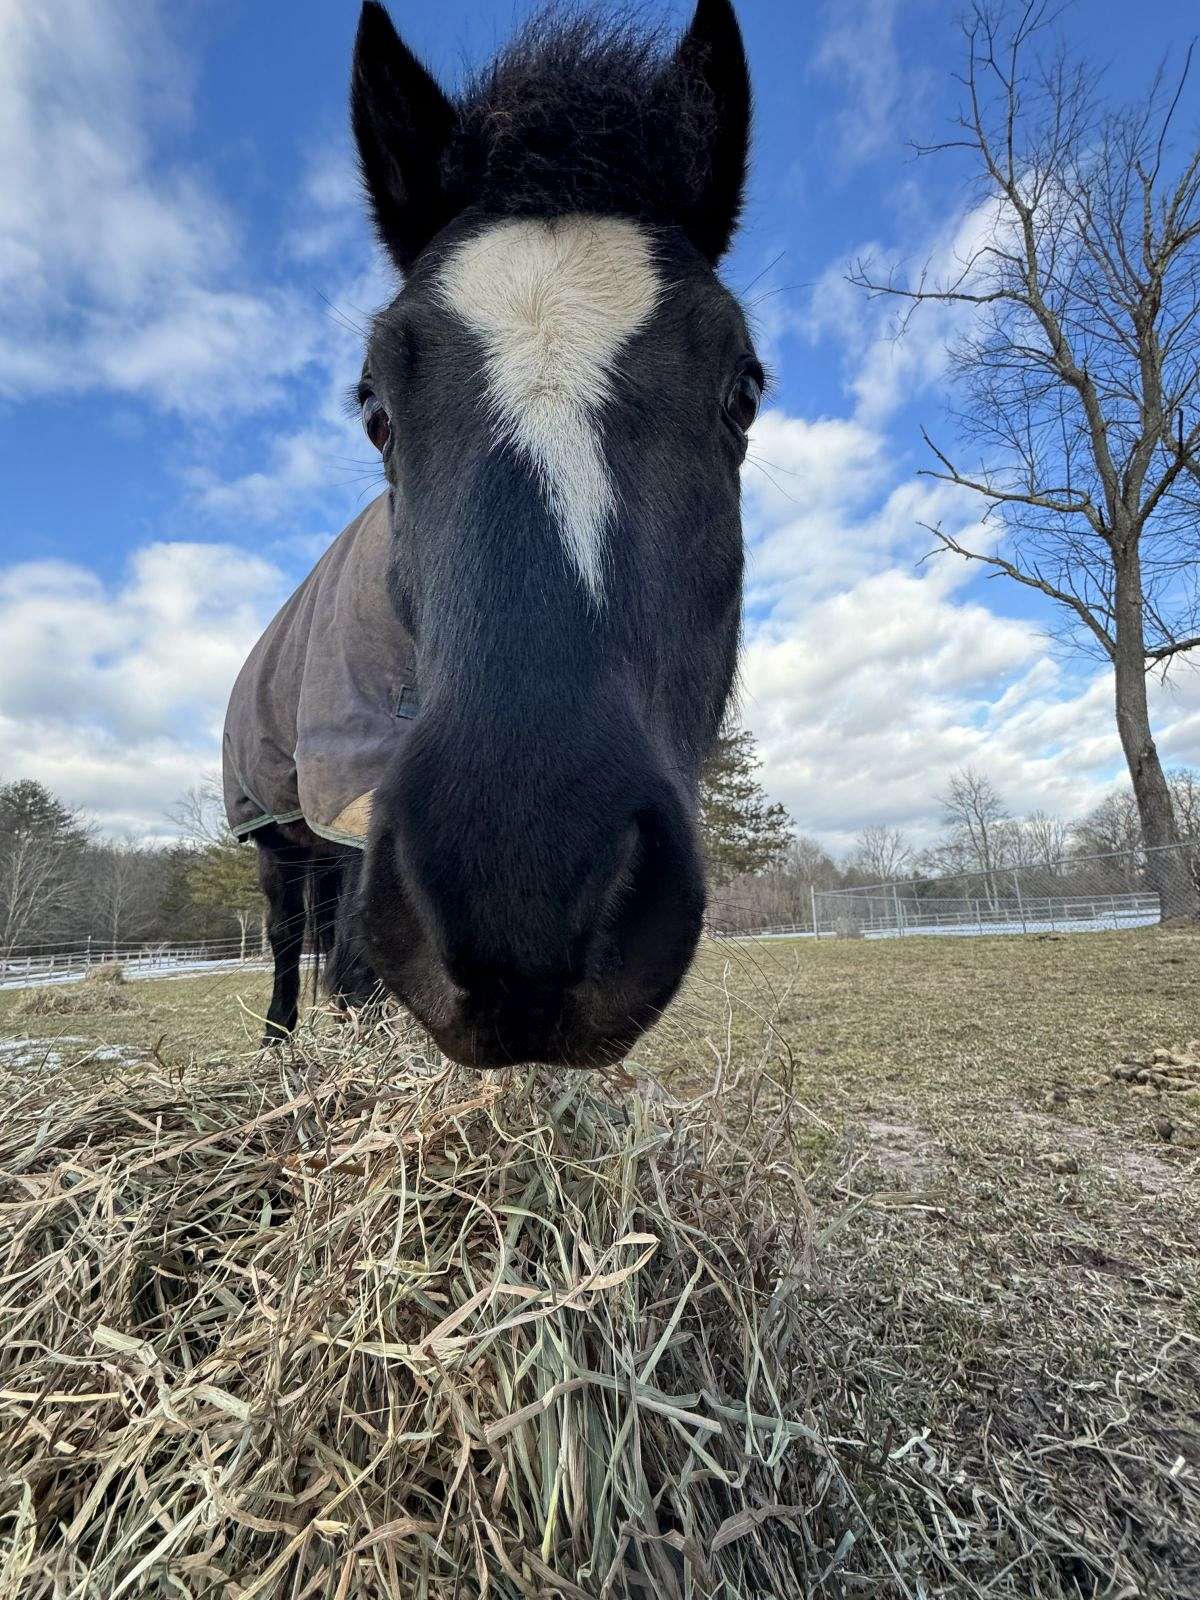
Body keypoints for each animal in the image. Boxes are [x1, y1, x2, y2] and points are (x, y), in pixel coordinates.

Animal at [222, 0, 763, 1069]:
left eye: (744, 393)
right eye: (375, 408)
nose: (524, 891)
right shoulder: (349, 796)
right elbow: (352, 973)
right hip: (277, 838)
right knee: (291, 939)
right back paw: (277, 1052)